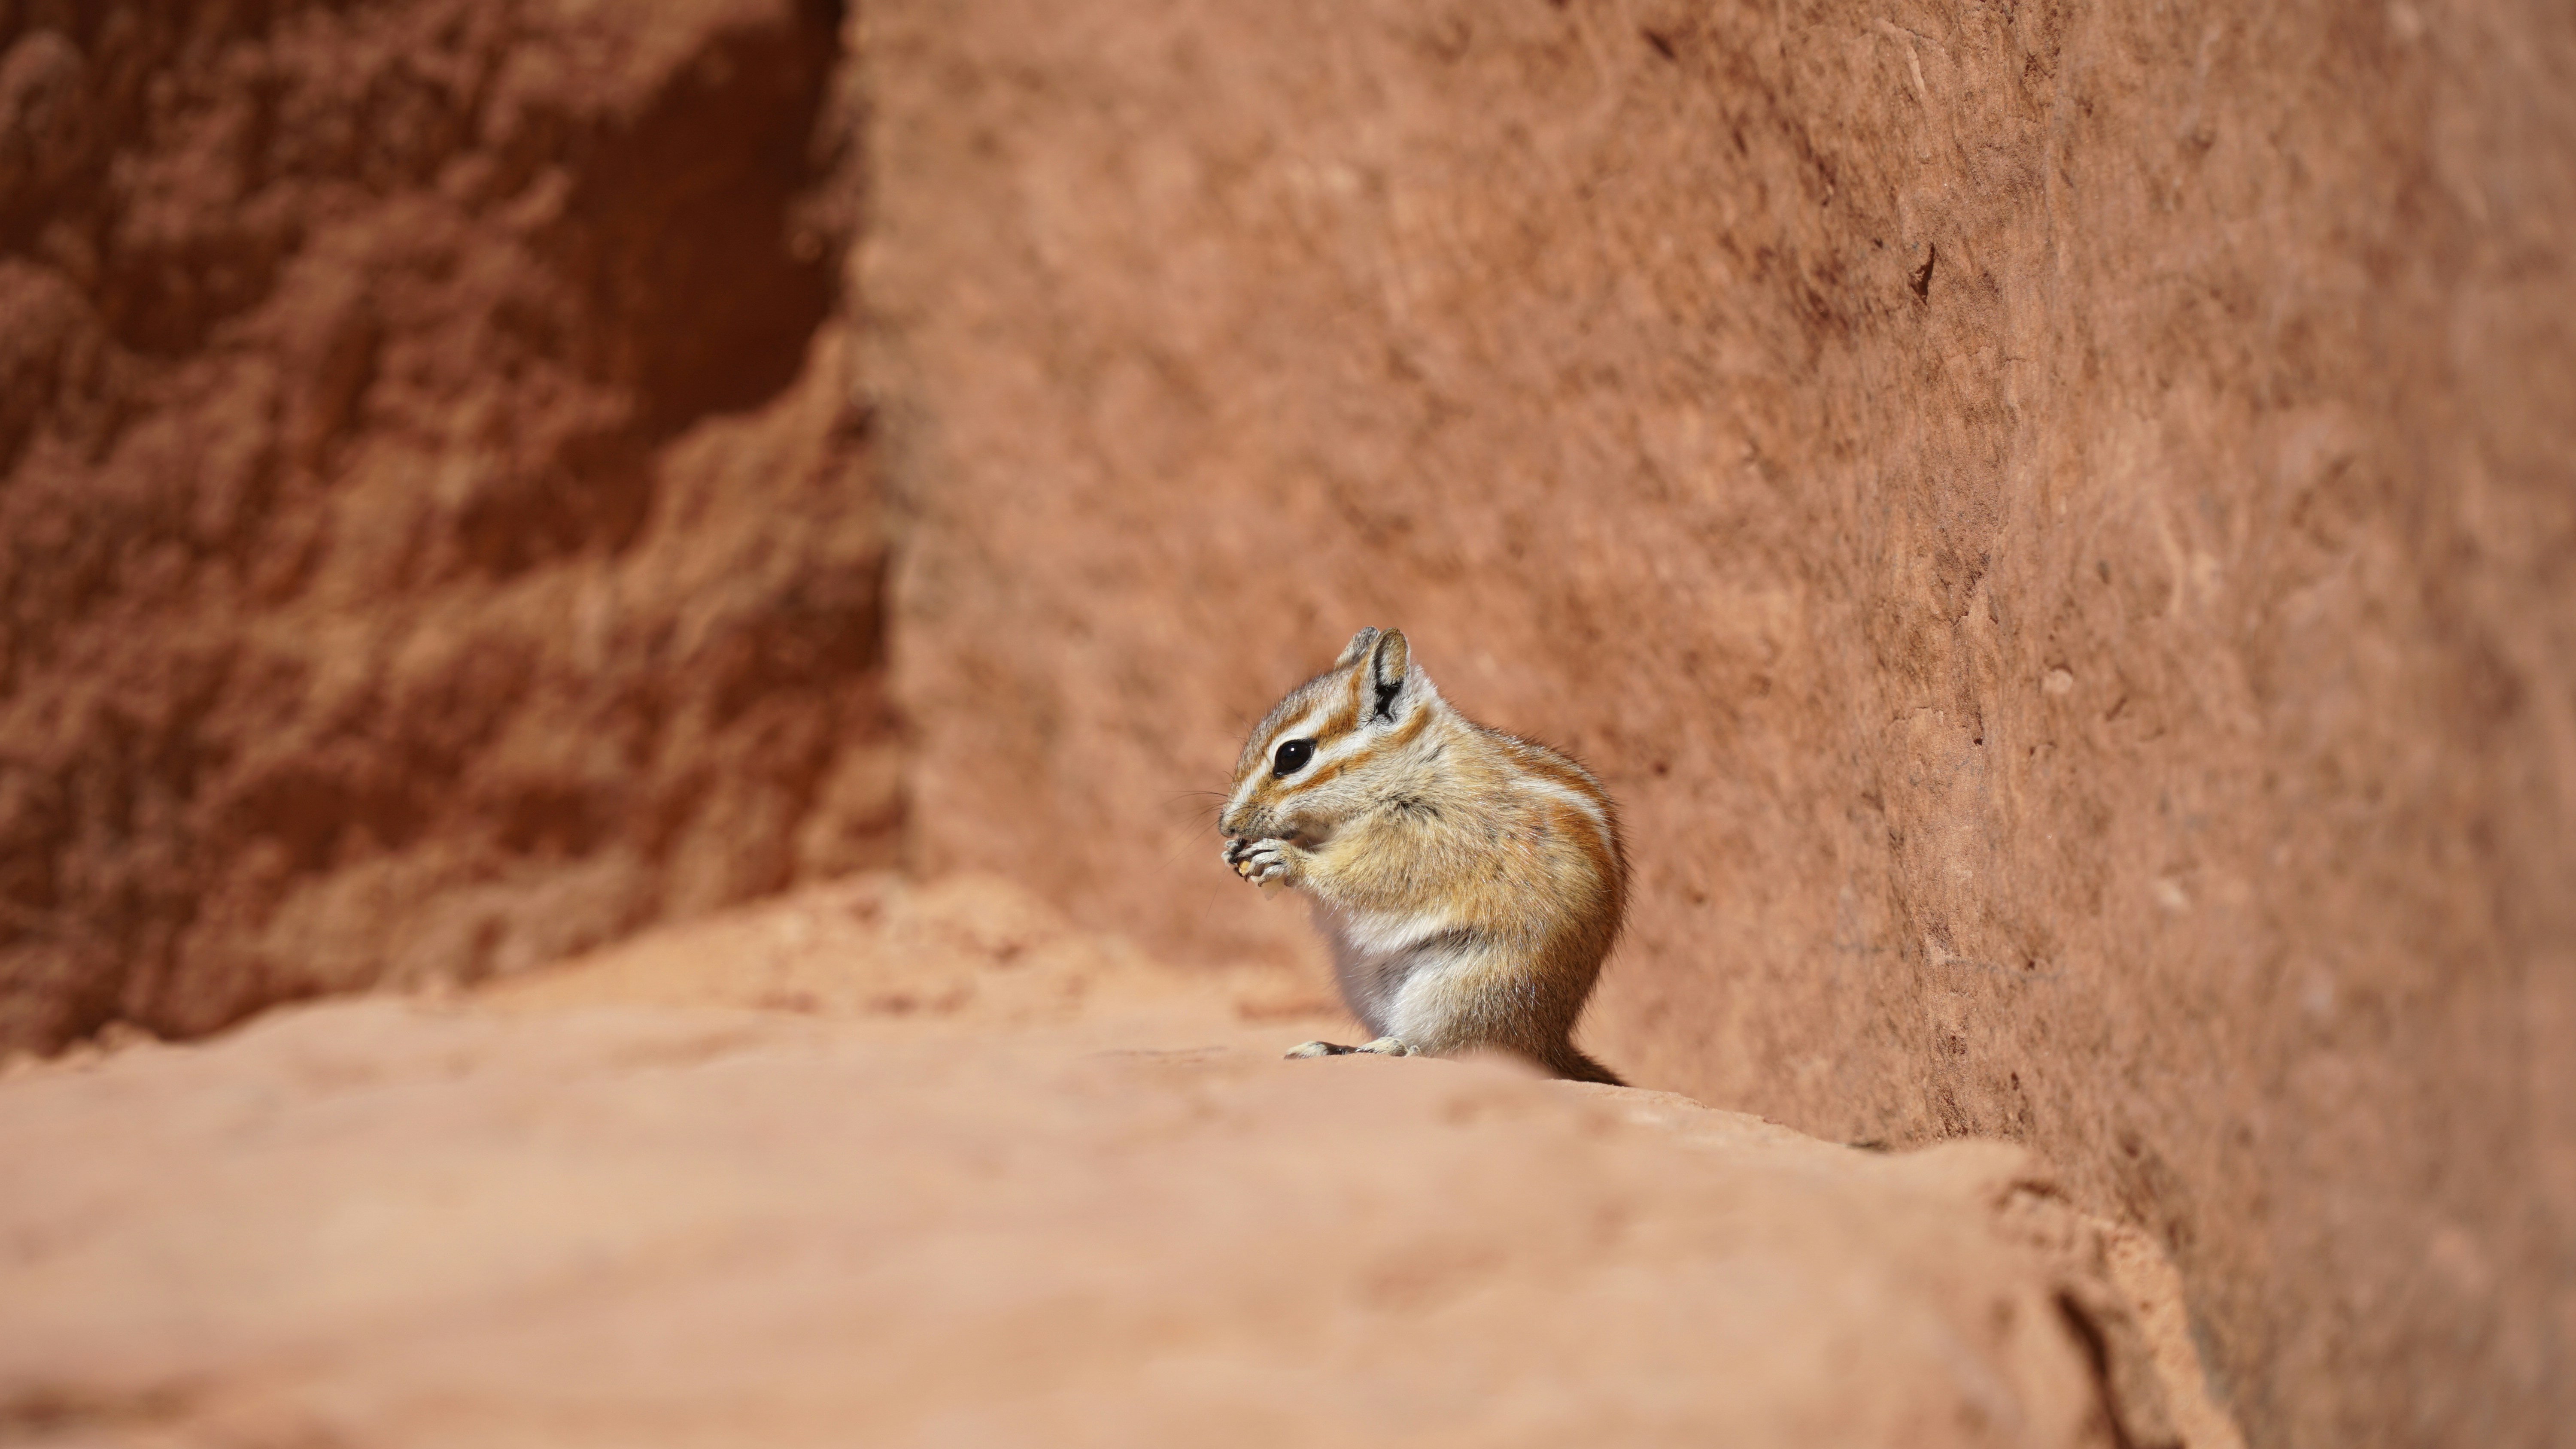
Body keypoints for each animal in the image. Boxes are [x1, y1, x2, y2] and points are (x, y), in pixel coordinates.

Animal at [1219, 627, 1629, 1086]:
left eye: (1292, 755)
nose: (1226, 826)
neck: (1416, 766)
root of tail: (1548, 1042)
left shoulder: (1420, 842)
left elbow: (1364, 878)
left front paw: (1288, 860)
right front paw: (1234, 853)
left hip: (1469, 990)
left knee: (1465, 1053)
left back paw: (1392, 1049)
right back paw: (1333, 1048)